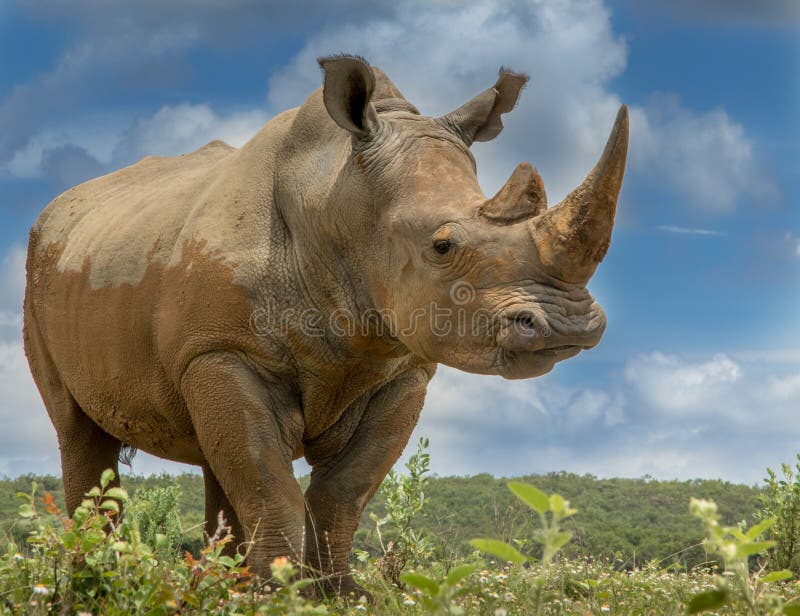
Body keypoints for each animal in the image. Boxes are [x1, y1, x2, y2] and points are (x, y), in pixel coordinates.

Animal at [23, 55, 628, 594]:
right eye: (442, 246)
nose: (568, 325)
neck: (339, 200)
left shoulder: (403, 368)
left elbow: (344, 489)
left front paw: (336, 593)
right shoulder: (221, 350)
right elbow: (269, 483)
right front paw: (280, 594)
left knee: (214, 453)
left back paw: (218, 587)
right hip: (42, 271)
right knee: (79, 432)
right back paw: (94, 584)